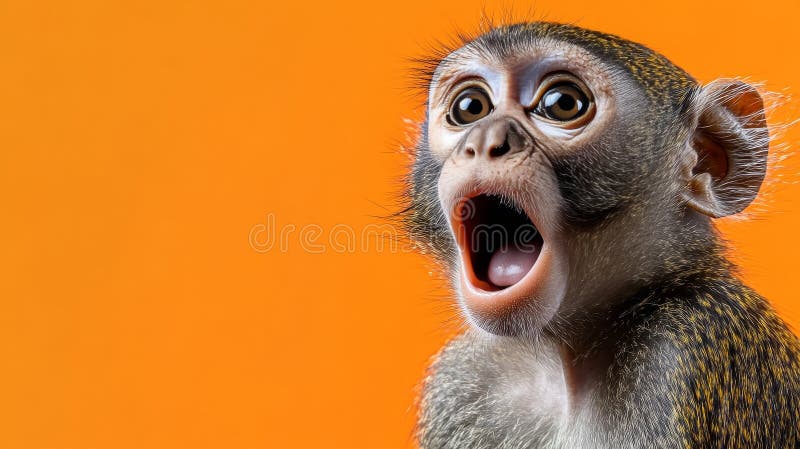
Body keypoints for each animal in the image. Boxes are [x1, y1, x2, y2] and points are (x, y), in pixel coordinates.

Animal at [402, 22, 800, 449]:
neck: (563, 365)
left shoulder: (689, 346)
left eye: (562, 103)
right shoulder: (462, 380)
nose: (484, 140)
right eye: (470, 108)